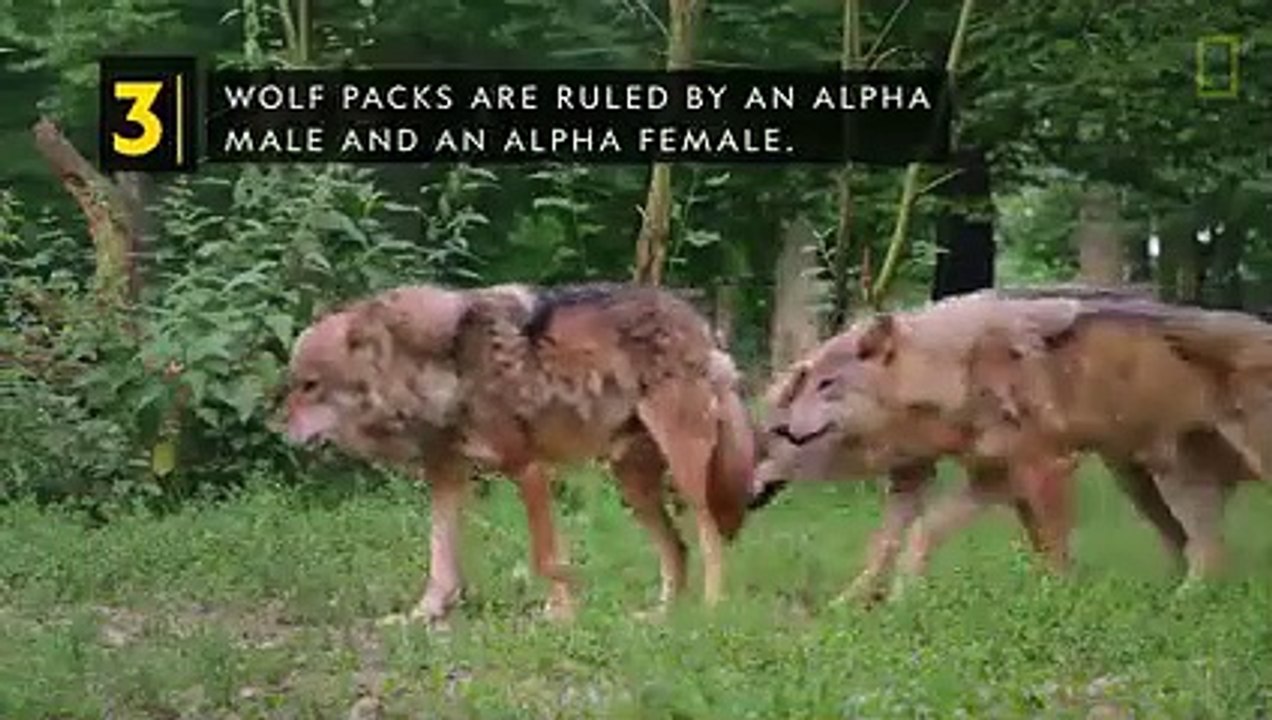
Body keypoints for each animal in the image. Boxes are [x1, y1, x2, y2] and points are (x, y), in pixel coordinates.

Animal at [281, 282, 755, 624]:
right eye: (294, 383)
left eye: (311, 385)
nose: (277, 425)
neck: (441, 367)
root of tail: (701, 324)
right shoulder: (446, 479)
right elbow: (439, 562)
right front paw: (422, 615)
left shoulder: (527, 469)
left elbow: (546, 557)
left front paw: (561, 613)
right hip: (634, 488)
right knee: (678, 549)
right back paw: (660, 617)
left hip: (686, 475)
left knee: (711, 538)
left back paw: (710, 611)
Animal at [750, 289, 1270, 602]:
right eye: (799, 389)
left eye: (828, 385)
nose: (780, 426)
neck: (957, 373)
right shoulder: (991, 477)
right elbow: (902, 538)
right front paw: (871, 601)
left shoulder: (1047, 467)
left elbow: (1054, 548)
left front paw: (1059, 599)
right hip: (1147, 479)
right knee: (1203, 550)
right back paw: (1179, 598)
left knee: (1204, 549)